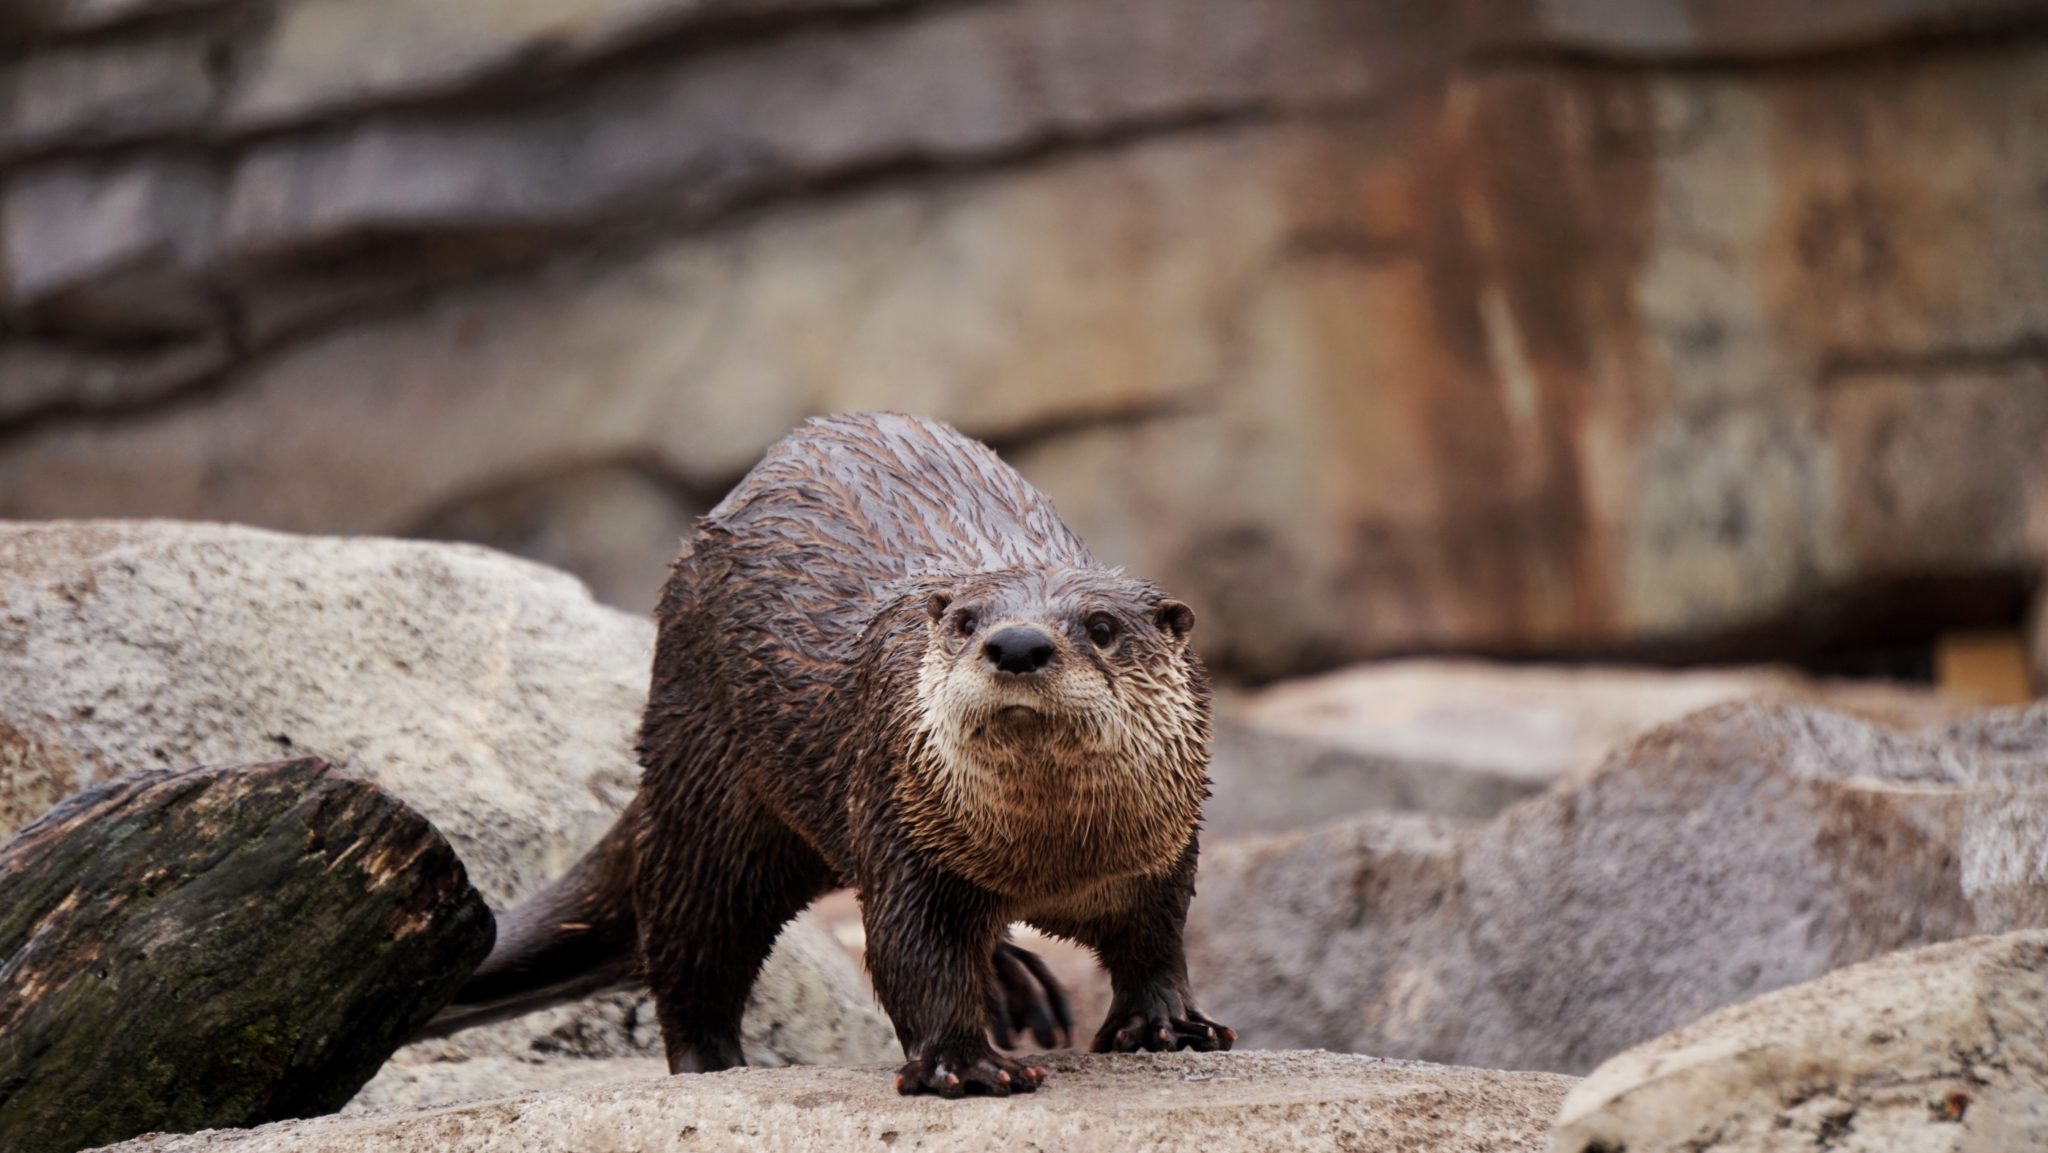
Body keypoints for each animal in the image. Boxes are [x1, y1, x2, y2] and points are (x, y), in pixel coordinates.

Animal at [433, 412, 1232, 1096]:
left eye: (1101, 626)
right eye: (966, 621)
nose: (1015, 643)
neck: (1050, 859)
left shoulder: (1165, 851)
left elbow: (1158, 939)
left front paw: (1167, 1024)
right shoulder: (905, 829)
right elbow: (913, 954)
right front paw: (965, 1063)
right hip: (708, 789)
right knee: (691, 940)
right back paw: (712, 1064)